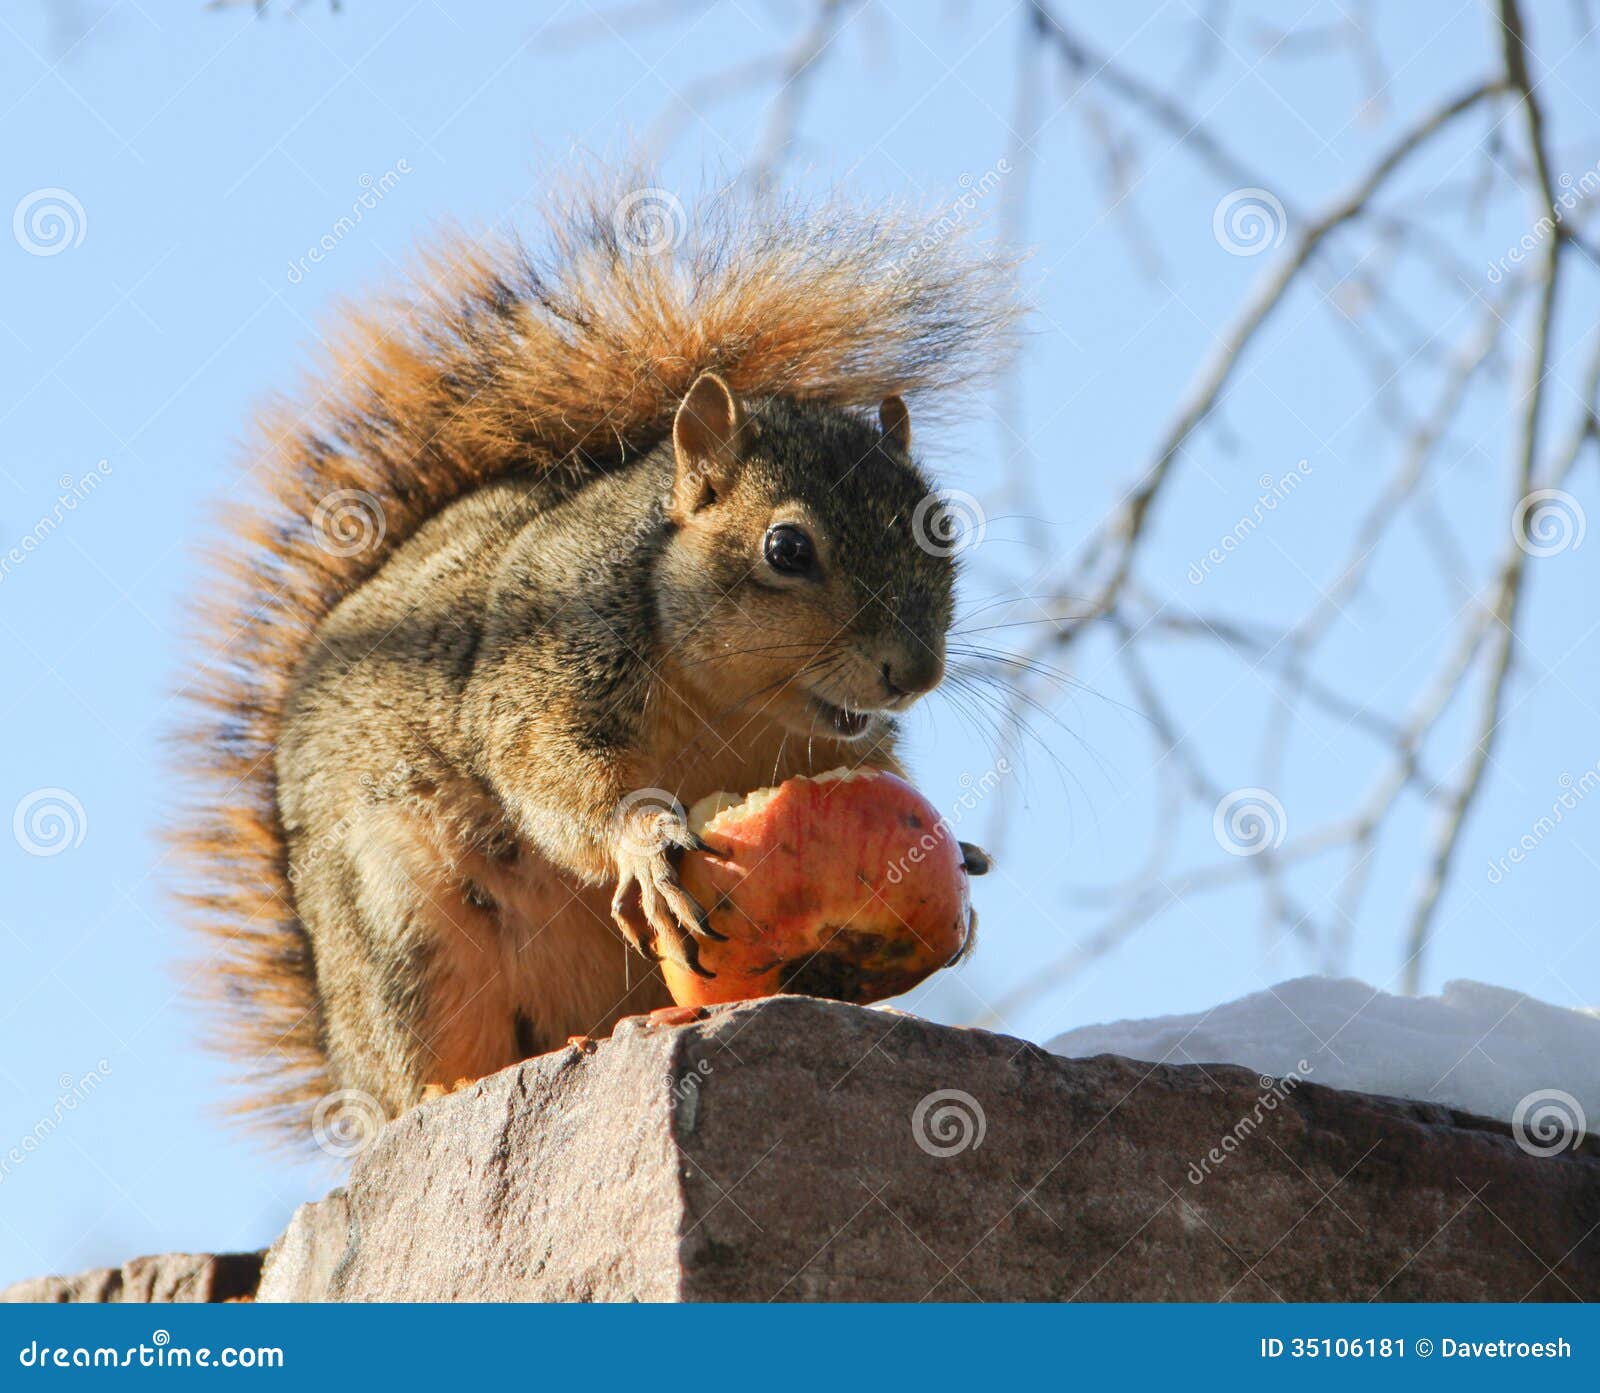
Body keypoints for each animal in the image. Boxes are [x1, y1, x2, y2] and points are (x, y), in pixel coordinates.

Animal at [175, 172, 1020, 1141]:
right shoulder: (545, 669)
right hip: (401, 939)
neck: (734, 708)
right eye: (787, 548)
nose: (915, 674)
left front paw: (963, 859)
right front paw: (646, 840)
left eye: (945, 529)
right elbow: (549, 774)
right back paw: (440, 1093)